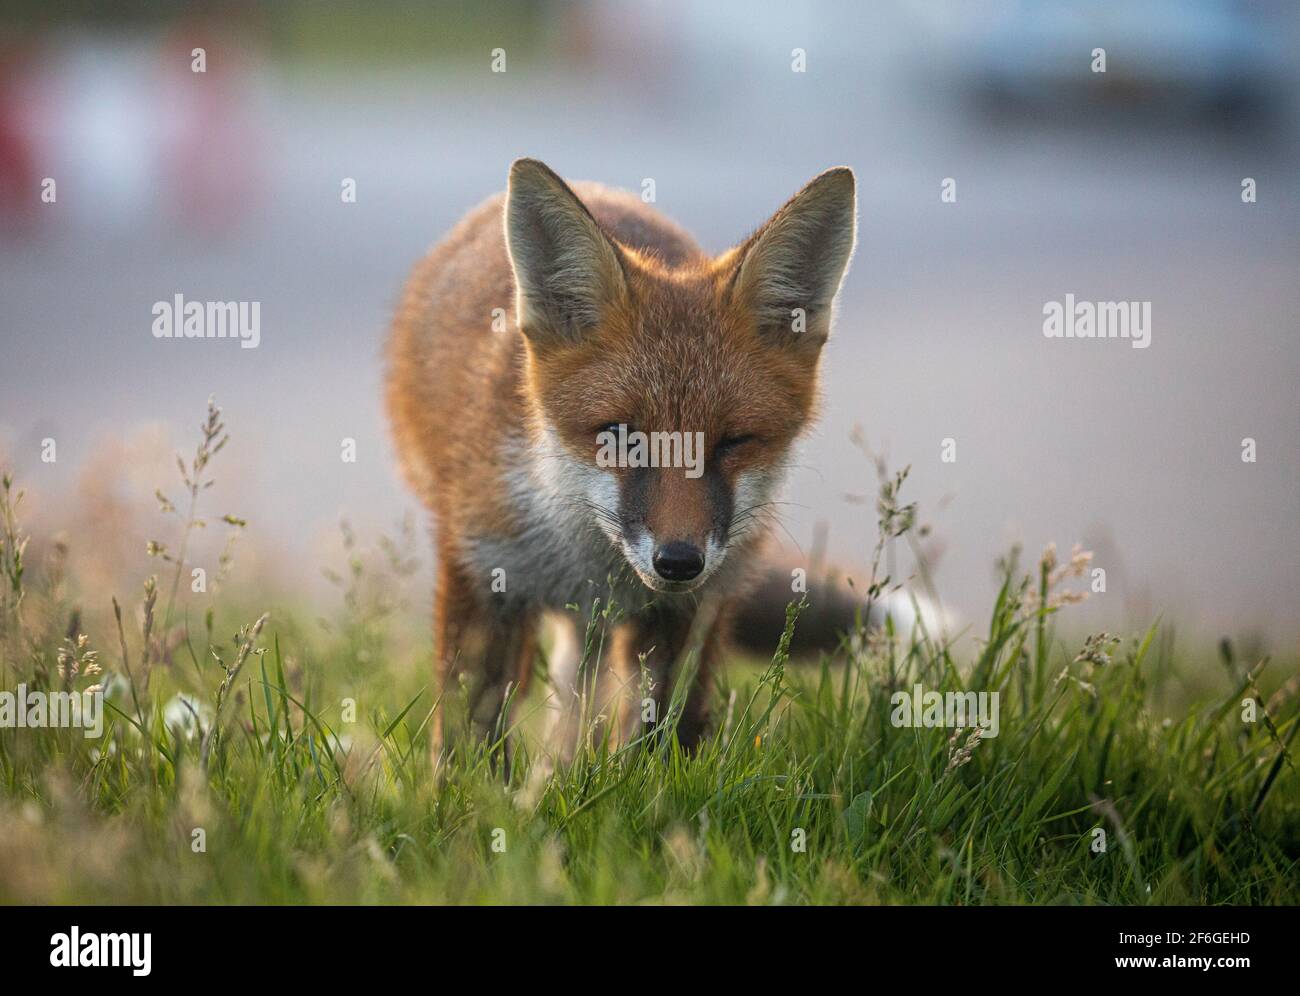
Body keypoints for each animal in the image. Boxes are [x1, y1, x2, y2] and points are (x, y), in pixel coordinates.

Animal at [385, 158, 857, 761]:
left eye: (732, 441)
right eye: (621, 435)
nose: (678, 561)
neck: (591, 561)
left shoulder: (690, 612)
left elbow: (655, 740)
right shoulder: (481, 570)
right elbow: (472, 736)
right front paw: (473, 786)